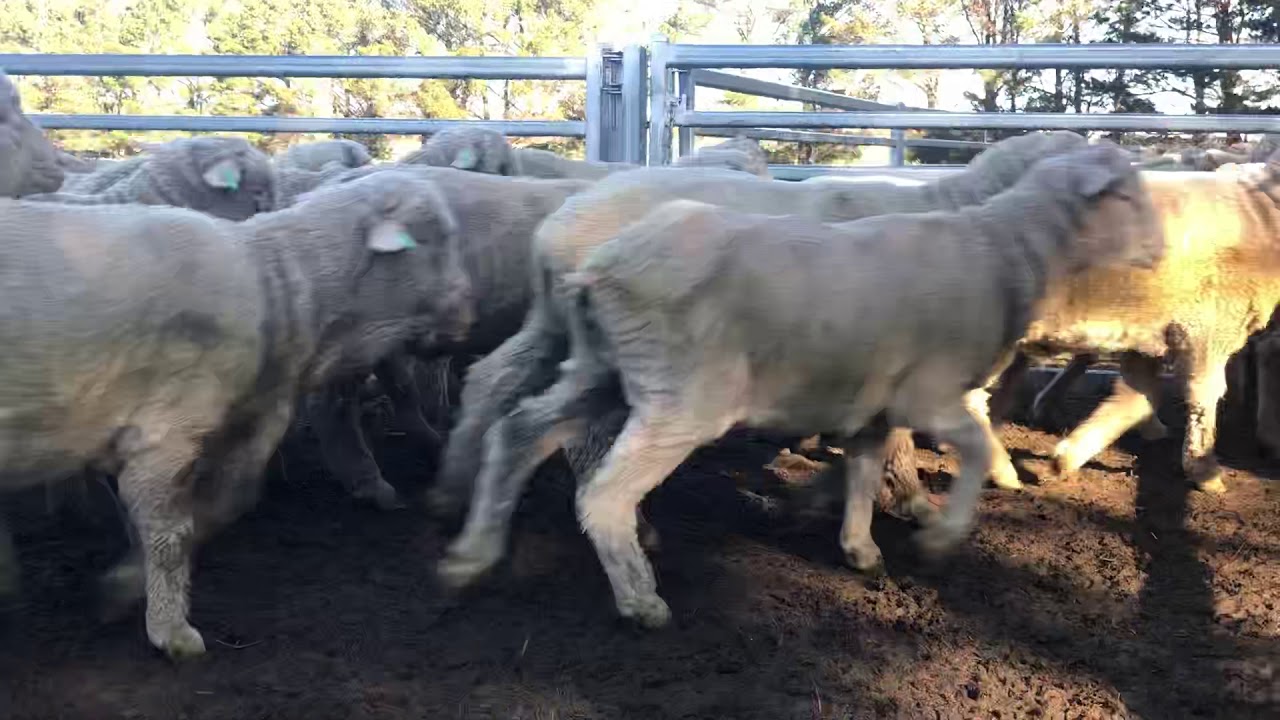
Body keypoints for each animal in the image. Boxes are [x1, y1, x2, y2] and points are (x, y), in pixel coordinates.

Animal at [0, 170, 471, 658]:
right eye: (434, 237)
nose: (467, 317)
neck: (281, 285)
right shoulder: (167, 434)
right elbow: (172, 534)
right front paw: (167, 628)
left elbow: (225, 502)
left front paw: (129, 581)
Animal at [877, 157, 1280, 500]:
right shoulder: (1208, 328)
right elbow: (1202, 396)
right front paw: (1205, 471)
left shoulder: (1150, 337)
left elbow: (1136, 400)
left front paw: (1066, 457)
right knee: (966, 398)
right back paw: (1000, 471)